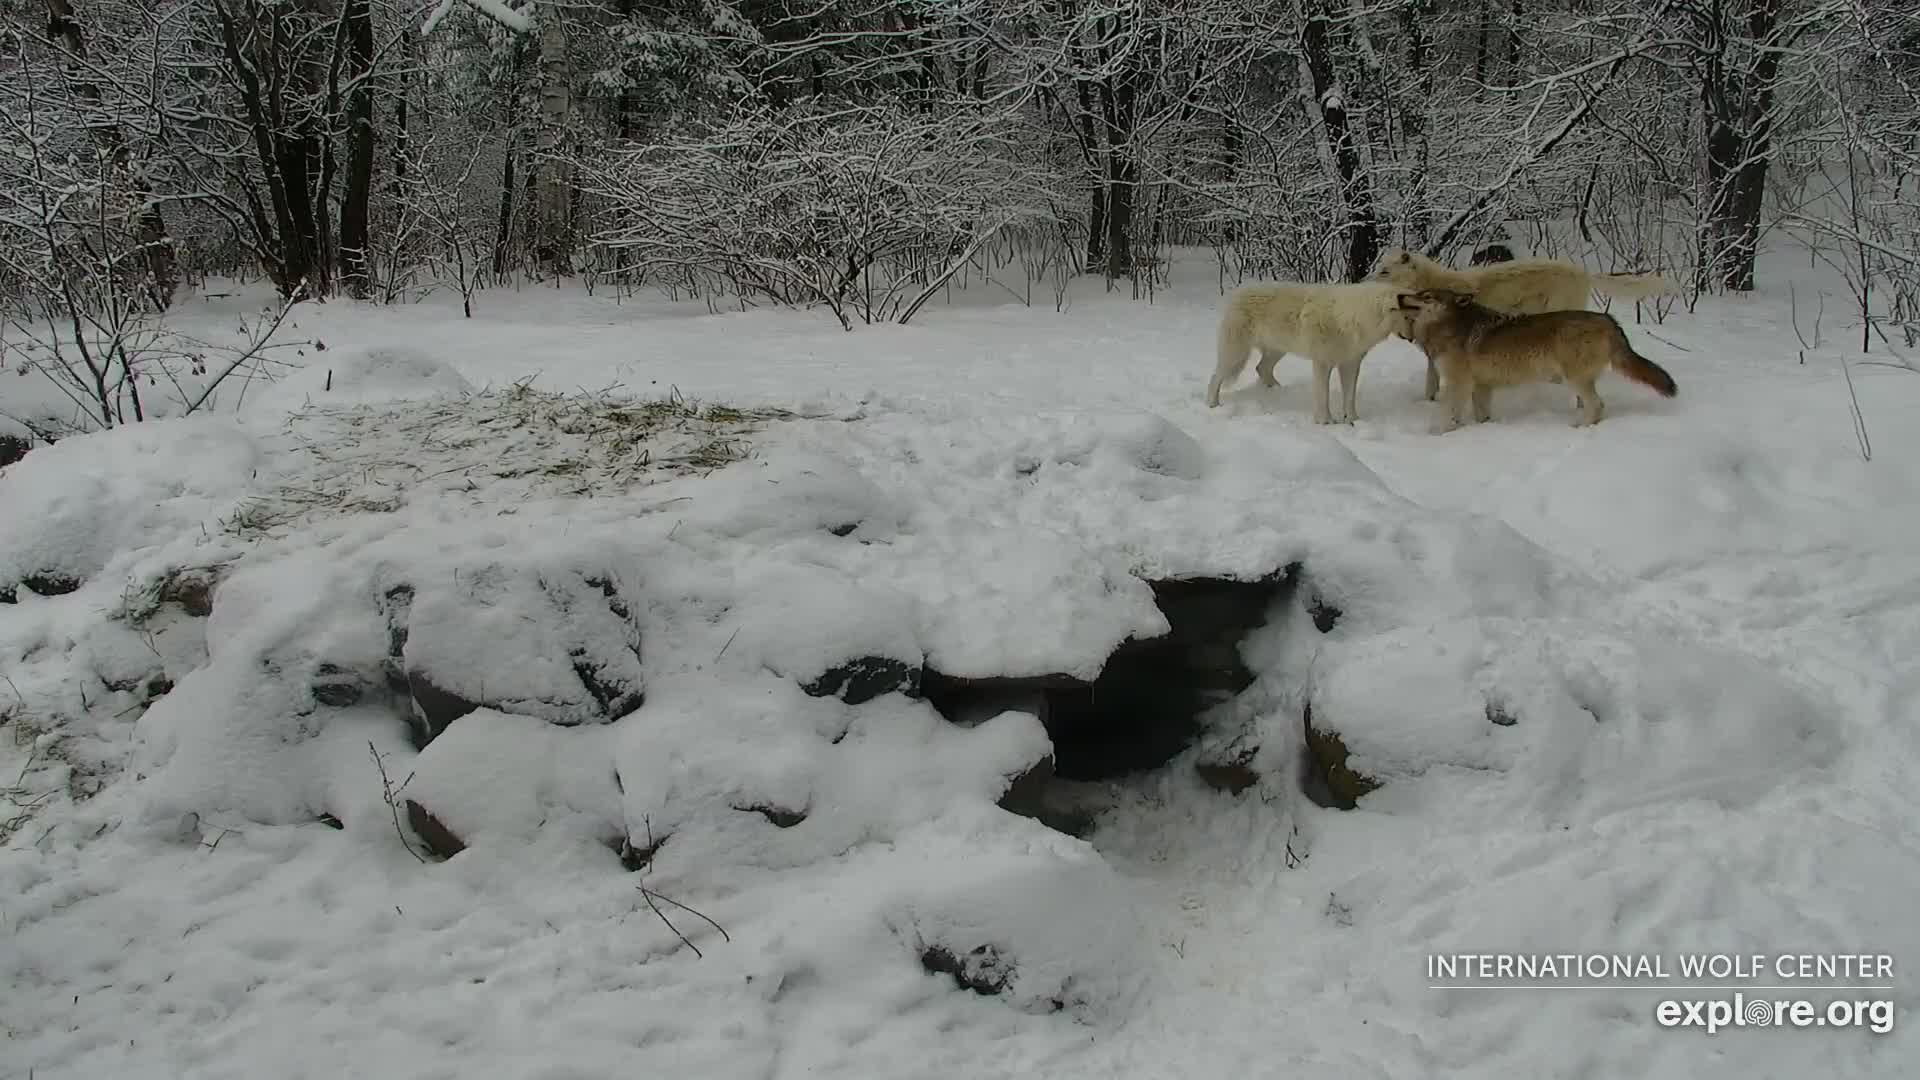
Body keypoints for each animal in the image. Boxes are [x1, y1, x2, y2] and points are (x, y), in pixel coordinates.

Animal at [1205, 280, 1411, 424]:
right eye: (1408, 317)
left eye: (1413, 316)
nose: (1411, 338)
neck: (1354, 318)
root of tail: (1238, 292)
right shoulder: (1322, 363)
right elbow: (1323, 395)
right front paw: (1326, 422)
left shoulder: (1350, 365)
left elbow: (1350, 398)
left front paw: (1353, 421)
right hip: (1236, 355)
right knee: (1215, 377)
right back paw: (1212, 404)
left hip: (1276, 351)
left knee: (1261, 368)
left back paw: (1277, 392)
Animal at [1395, 287, 1678, 433]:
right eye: (1416, 292)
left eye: (1426, 296)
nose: (1399, 296)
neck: (1449, 326)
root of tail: (1608, 319)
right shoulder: (1482, 387)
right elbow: (1482, 416)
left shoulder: (1458, 384)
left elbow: (1447, 415)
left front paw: (1438, 434)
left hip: (1574, 379)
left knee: (1597, 405)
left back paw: (1580, 428)